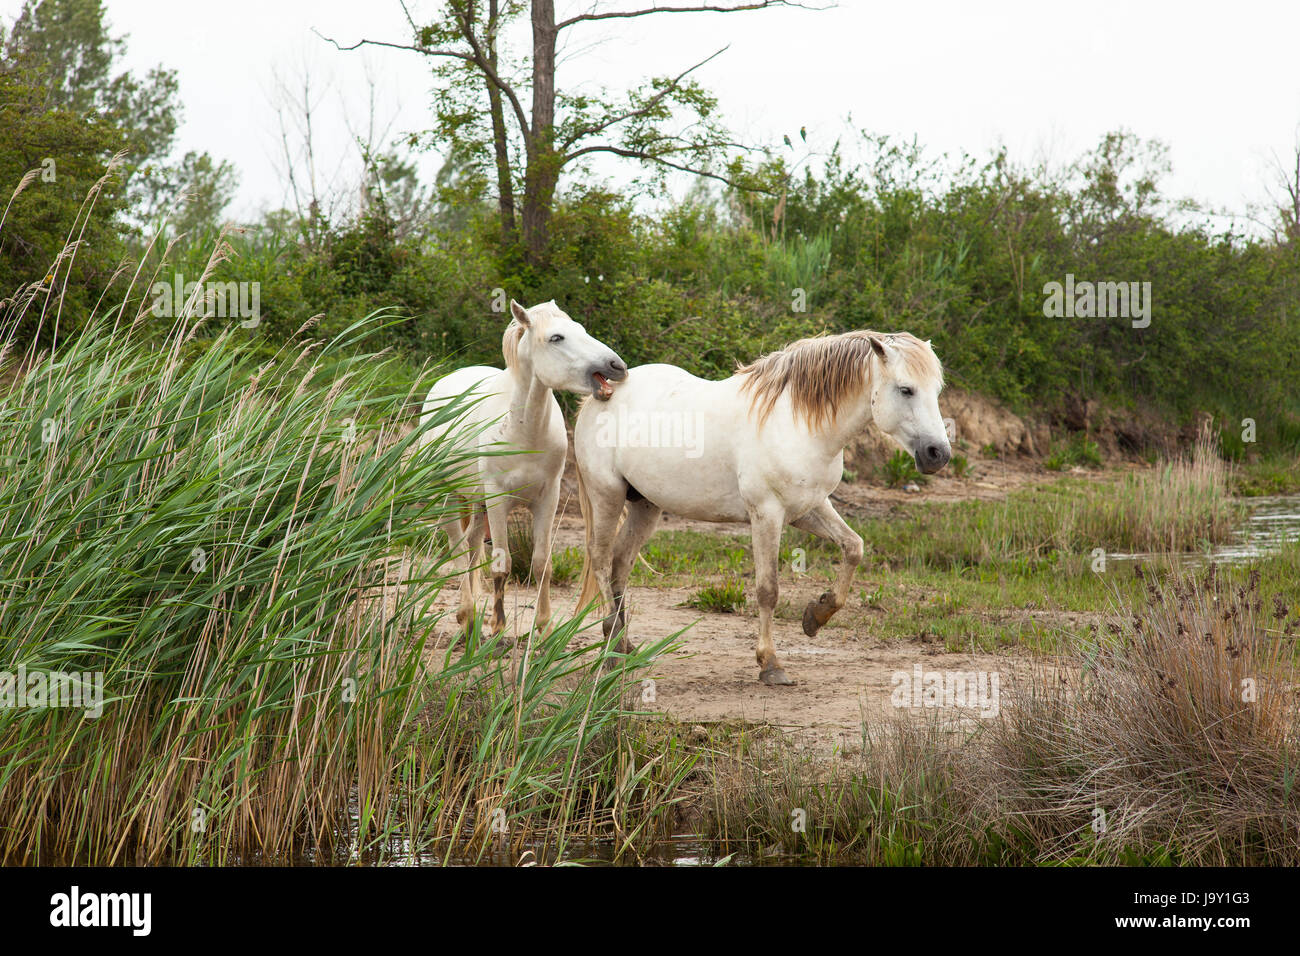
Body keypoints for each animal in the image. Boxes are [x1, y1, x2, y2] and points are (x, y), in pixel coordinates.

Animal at [421, 299, 627, 636]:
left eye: (581, 329)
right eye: (556, 337)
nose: (617, 366)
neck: (523, 430)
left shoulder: (548, 499)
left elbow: (542, 563)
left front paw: (543, 627)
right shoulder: (497, 501)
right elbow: (501, 564)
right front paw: (498, 628)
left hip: (478, 503)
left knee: (472, 546)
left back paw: (470, 619)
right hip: (450, 496)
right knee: (459, 549)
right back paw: (467, 615)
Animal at [574, 330, 949, 685]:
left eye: (937, 390)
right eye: (906, 390)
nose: (938, 454)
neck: (799, 423)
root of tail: (600, 393)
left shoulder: (809, 509)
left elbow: (853, 548)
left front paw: (817, 615)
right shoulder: (767, 514)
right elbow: (768, 590)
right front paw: (770, 664)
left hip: (646, 506)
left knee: (621, 563)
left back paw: (623, 646)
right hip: (607, 496)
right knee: (602, 560)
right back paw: (610, 650)